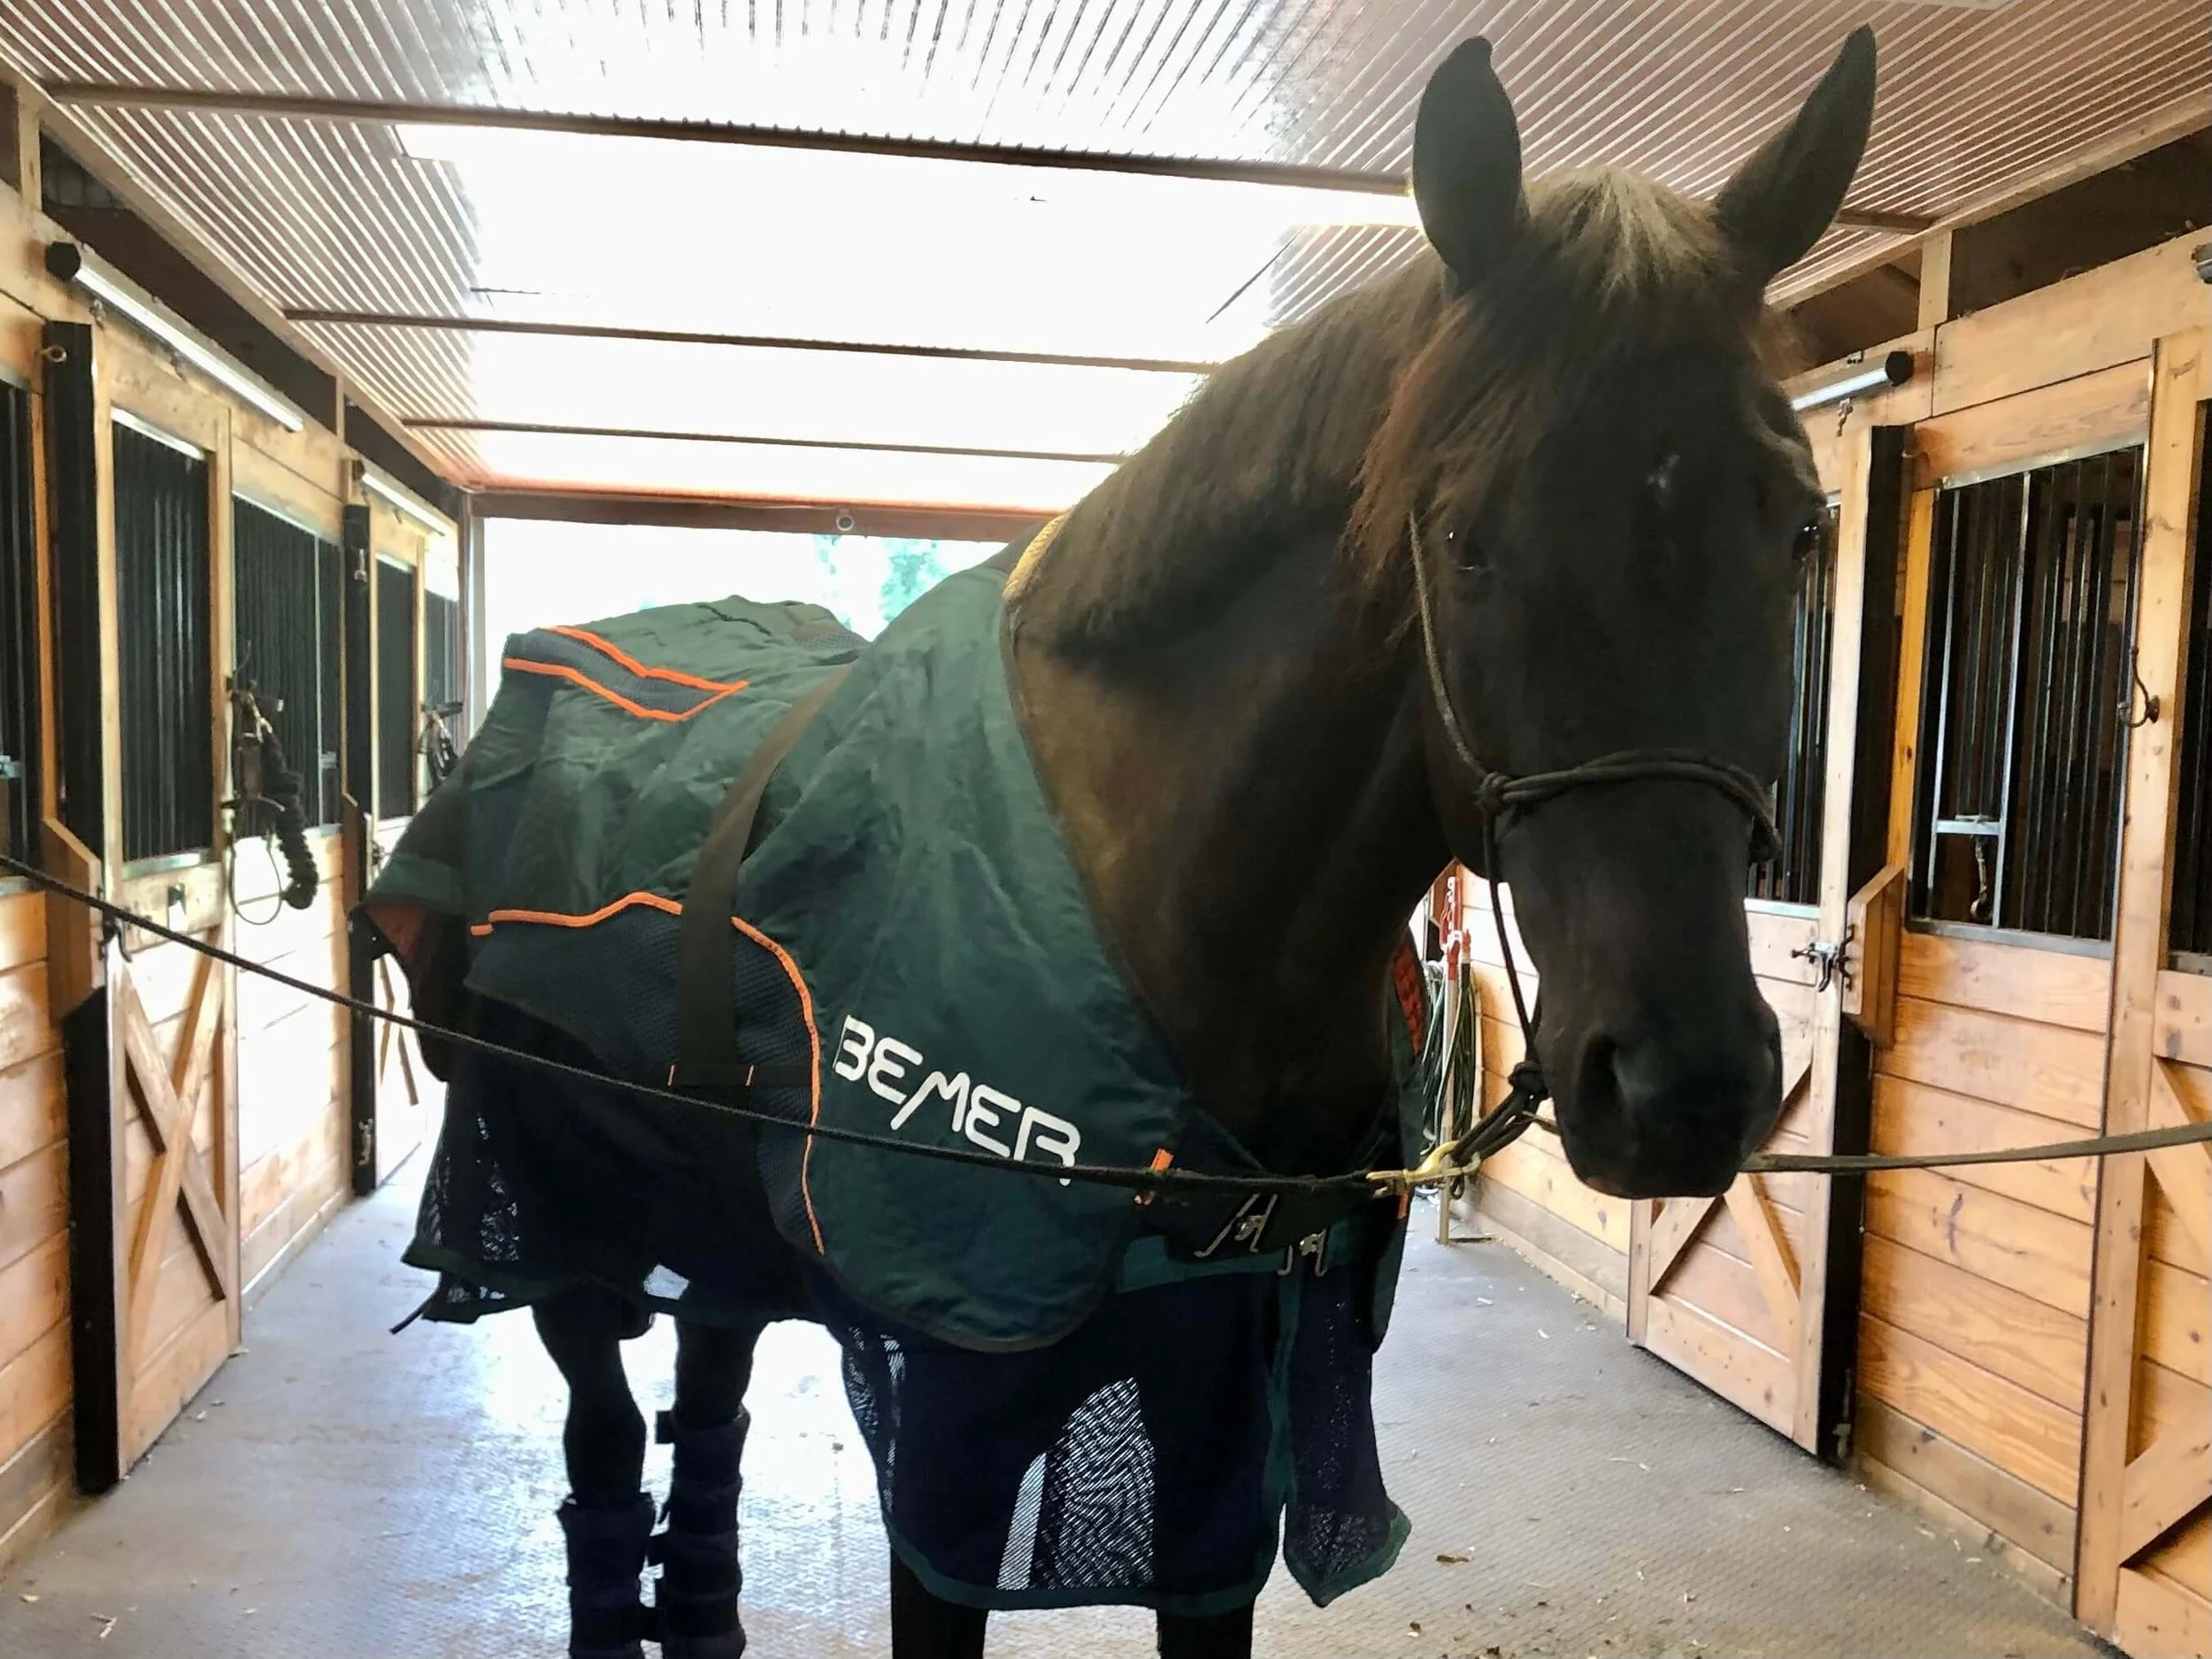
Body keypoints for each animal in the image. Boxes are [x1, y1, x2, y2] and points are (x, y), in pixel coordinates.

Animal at [363, 26, 1876, 1659]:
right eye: (1468, 540)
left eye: (1798, 526)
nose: (1684, 1087)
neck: (1182, 919)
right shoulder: (955, 1428)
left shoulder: (1226, 1417)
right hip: (562, 1232)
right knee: (600, 1451)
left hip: (715, 1235)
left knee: (704, 1421)